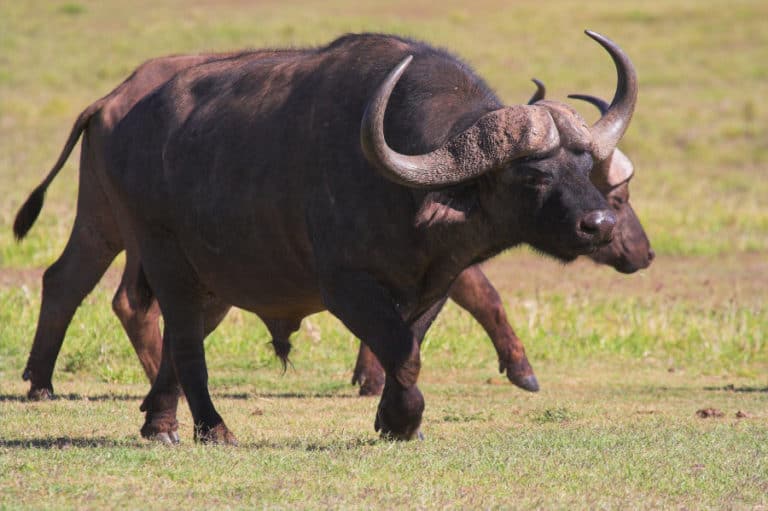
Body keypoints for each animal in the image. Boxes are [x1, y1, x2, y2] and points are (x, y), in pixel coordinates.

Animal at [16, 31, 637, 442]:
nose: (600, 227)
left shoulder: (436, 281)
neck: (402, 190)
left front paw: (391, 418)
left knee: (161, 329)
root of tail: (111, 109)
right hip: (156, 250)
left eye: (583, 165)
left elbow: (408, 344)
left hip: (201, 273)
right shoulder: (346, 286)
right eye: (531, 174)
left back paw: (155, 420)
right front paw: (404, 420)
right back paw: (207, 427)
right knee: (169, 331)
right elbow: (401, 351)